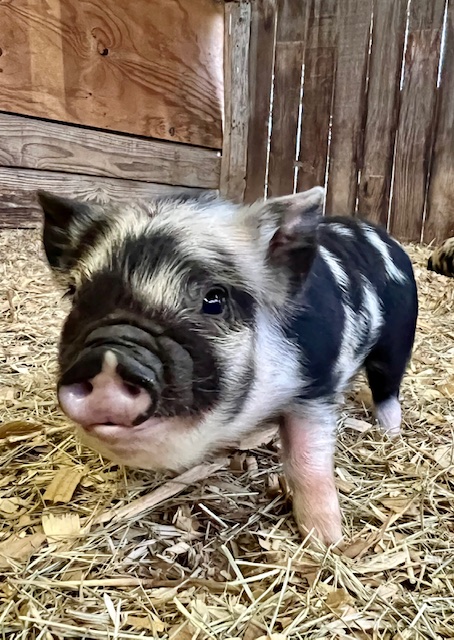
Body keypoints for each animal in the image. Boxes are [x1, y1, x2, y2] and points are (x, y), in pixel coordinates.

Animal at [38, 187, 418, 545]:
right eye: (75, 294)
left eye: (214, 300)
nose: (108, 356)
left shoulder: (316, 385)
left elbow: (308, 461)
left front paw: (326, 542)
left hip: (398, 339)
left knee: (388, 388)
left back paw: (390, 435)